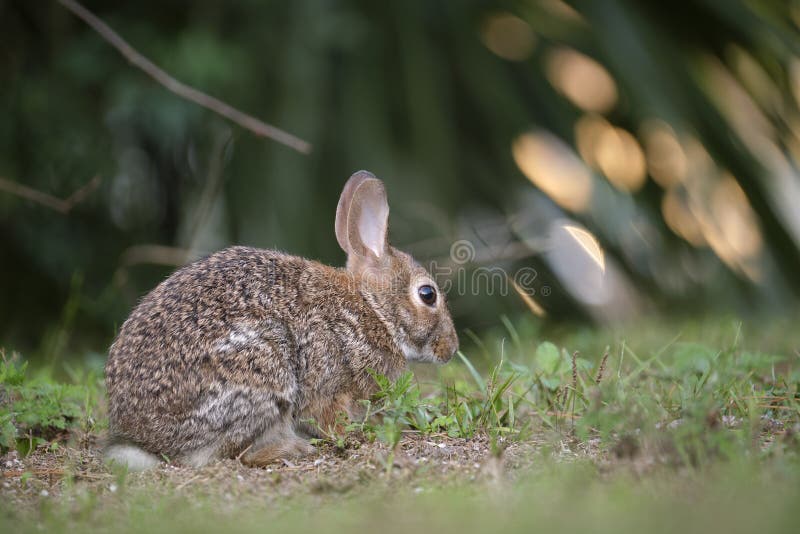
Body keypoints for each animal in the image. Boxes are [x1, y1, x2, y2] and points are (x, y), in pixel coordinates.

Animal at [104, 170, 459, 470]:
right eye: (427, 294)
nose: (452, 349)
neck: (371, 309)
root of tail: (142, 437)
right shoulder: (326, 383)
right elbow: (328, 418)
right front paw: (357, 434)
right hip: (262, 372)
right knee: (235, 454)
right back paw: (294, 449)